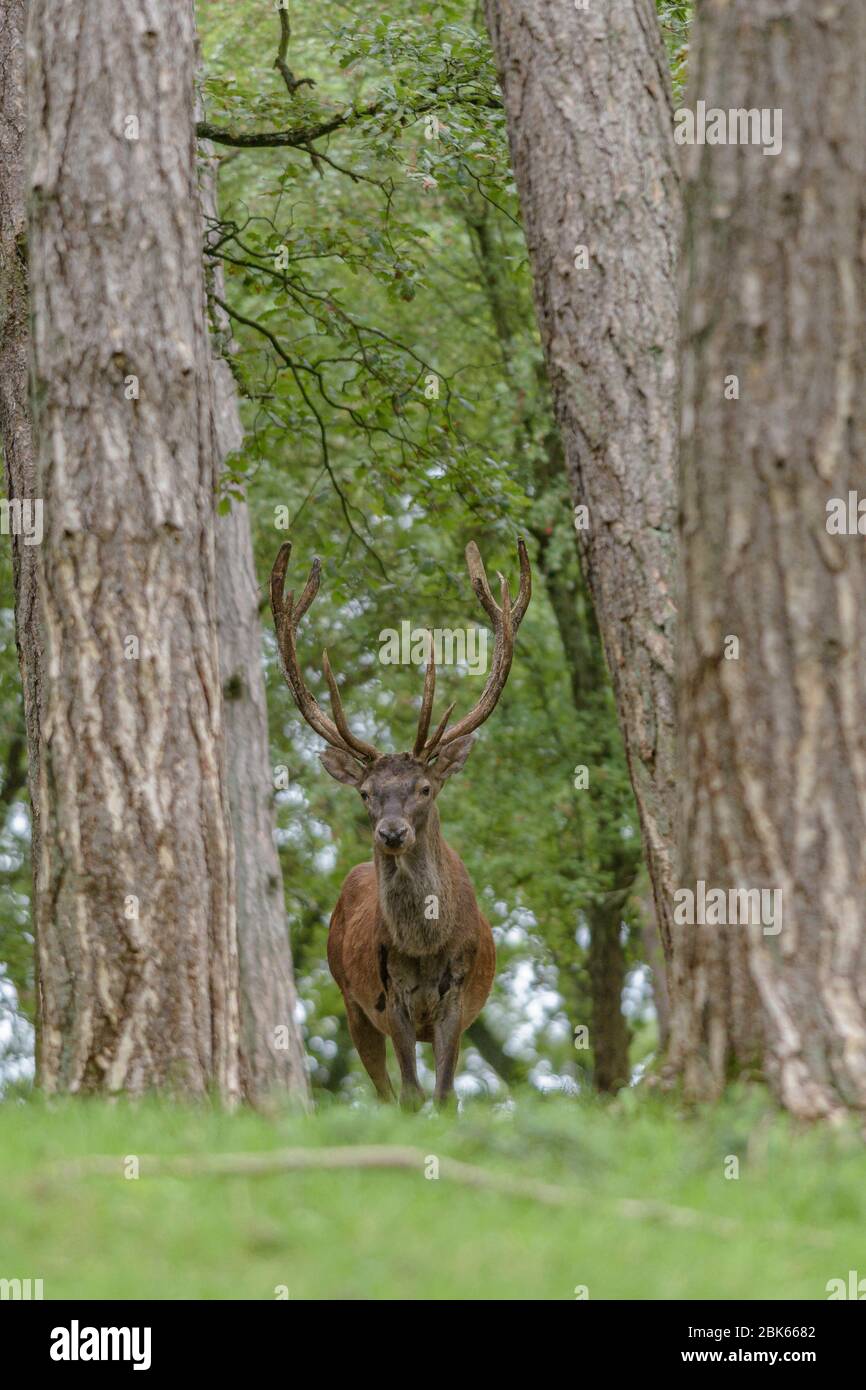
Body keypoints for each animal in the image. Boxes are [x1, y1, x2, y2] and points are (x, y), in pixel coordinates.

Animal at [269, 538, 531, 1107]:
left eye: (425, 788)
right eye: (366, 793)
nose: (391, 832)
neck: (426, 946)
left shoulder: (458, 996)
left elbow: (446, 1093)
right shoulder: (391, 997)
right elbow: (410, 1094)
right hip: (351, 1002)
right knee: (384, 1090)